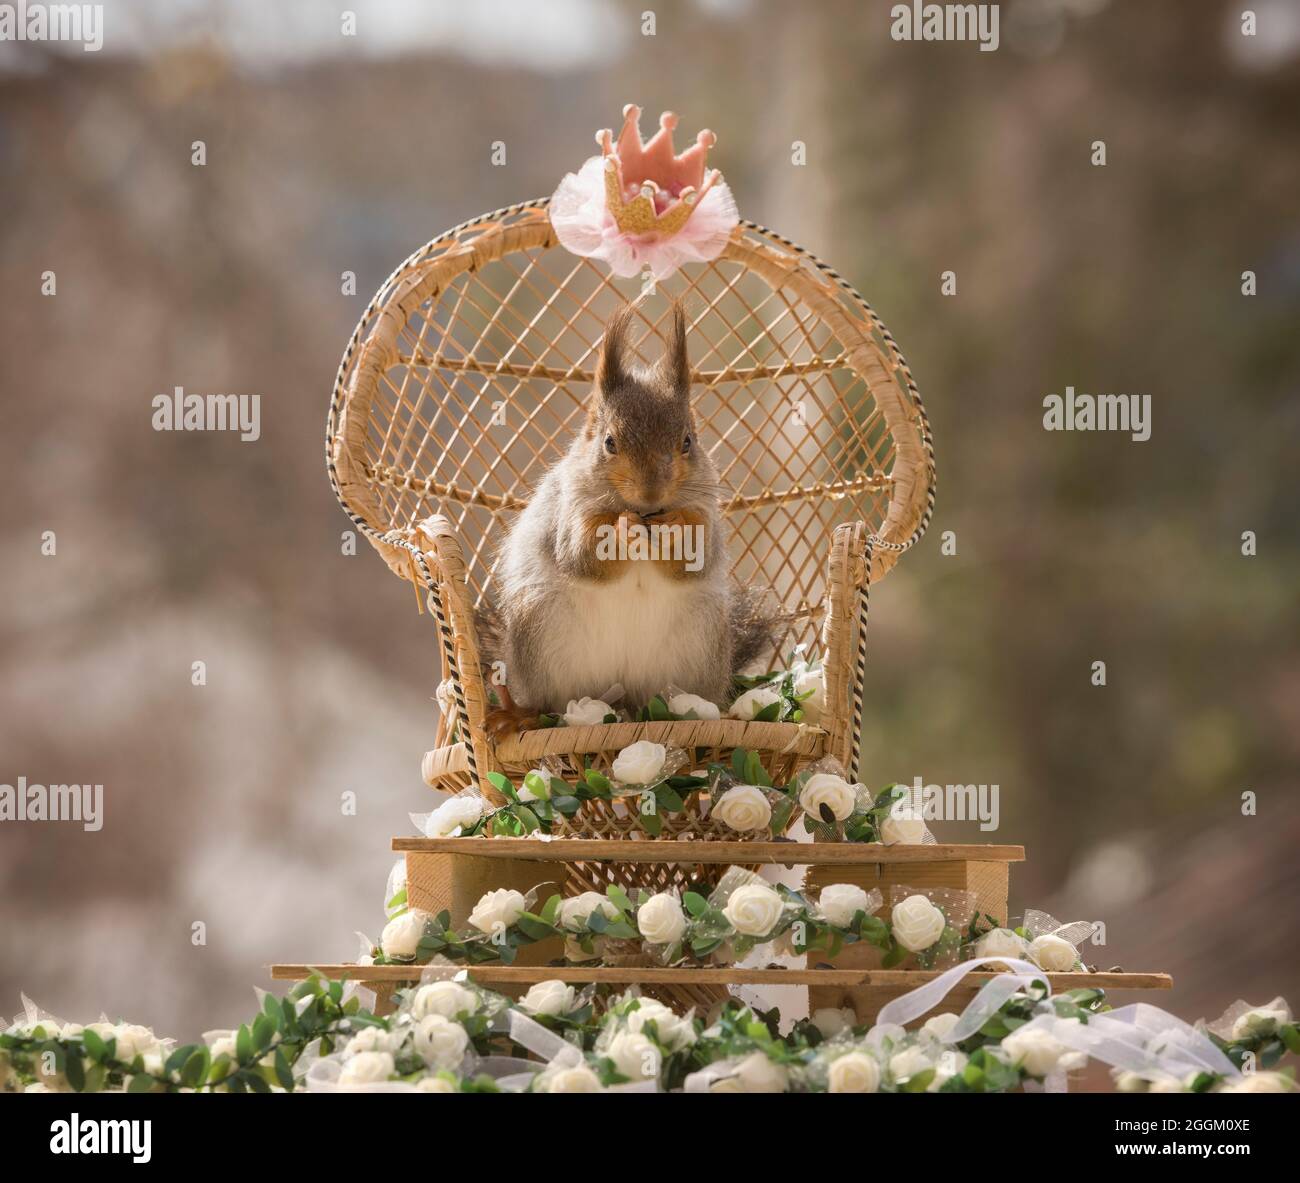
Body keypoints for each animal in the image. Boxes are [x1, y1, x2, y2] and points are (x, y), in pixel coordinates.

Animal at [480, 300, 776, 731]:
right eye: (609, 442)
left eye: (688, 442)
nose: (651, 496)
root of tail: (622, 699)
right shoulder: (567, 513)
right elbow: (581, 558)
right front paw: (621, 529)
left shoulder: (706, 516)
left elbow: (694, 561)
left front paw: (675, 528)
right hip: (539, 630)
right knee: (547, 704)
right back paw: (522, 713)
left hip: (700, 643)